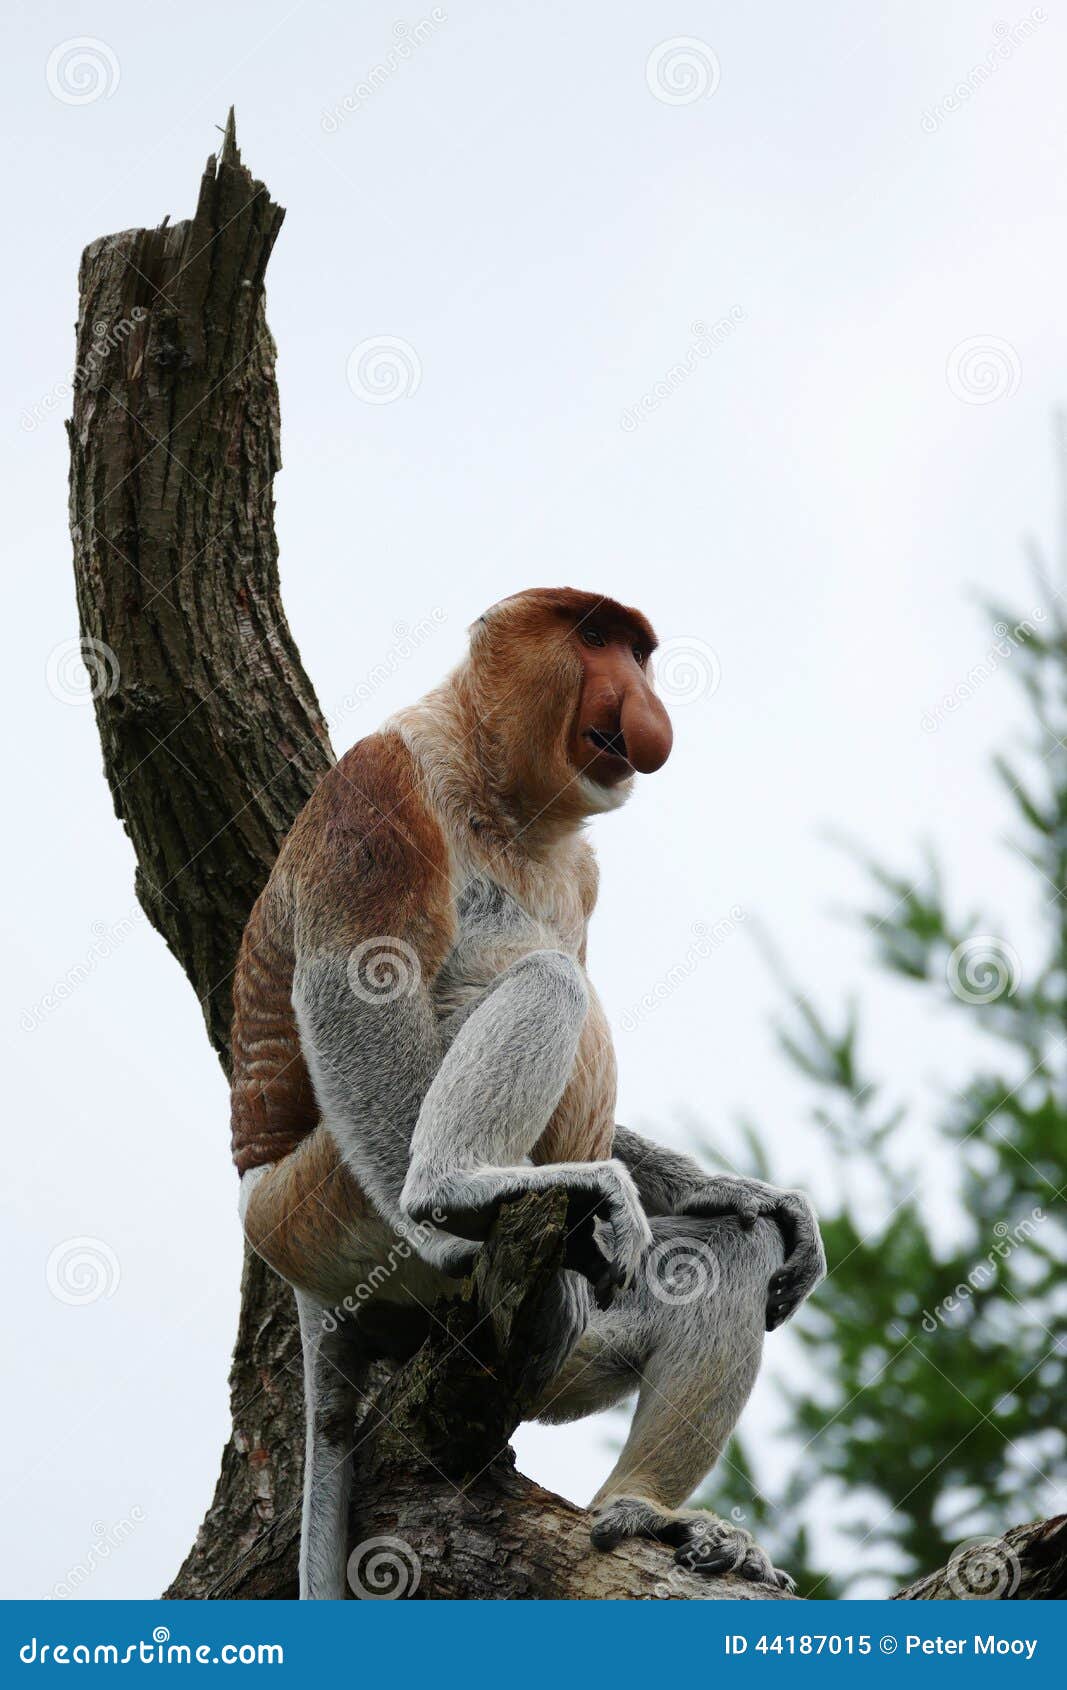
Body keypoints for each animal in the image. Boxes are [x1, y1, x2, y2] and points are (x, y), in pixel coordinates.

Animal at [230, 587, 826, 1599]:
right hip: (321, 1208)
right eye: (592, 636)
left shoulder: (581, 871)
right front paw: (443, 1214)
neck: (501, 796)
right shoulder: (379, 784)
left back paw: (646, 1513)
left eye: (635, 649)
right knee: (542, 980)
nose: (640, 700)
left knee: (719, 1255)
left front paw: (755, 1196)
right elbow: (358, 986)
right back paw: (458, 1194)